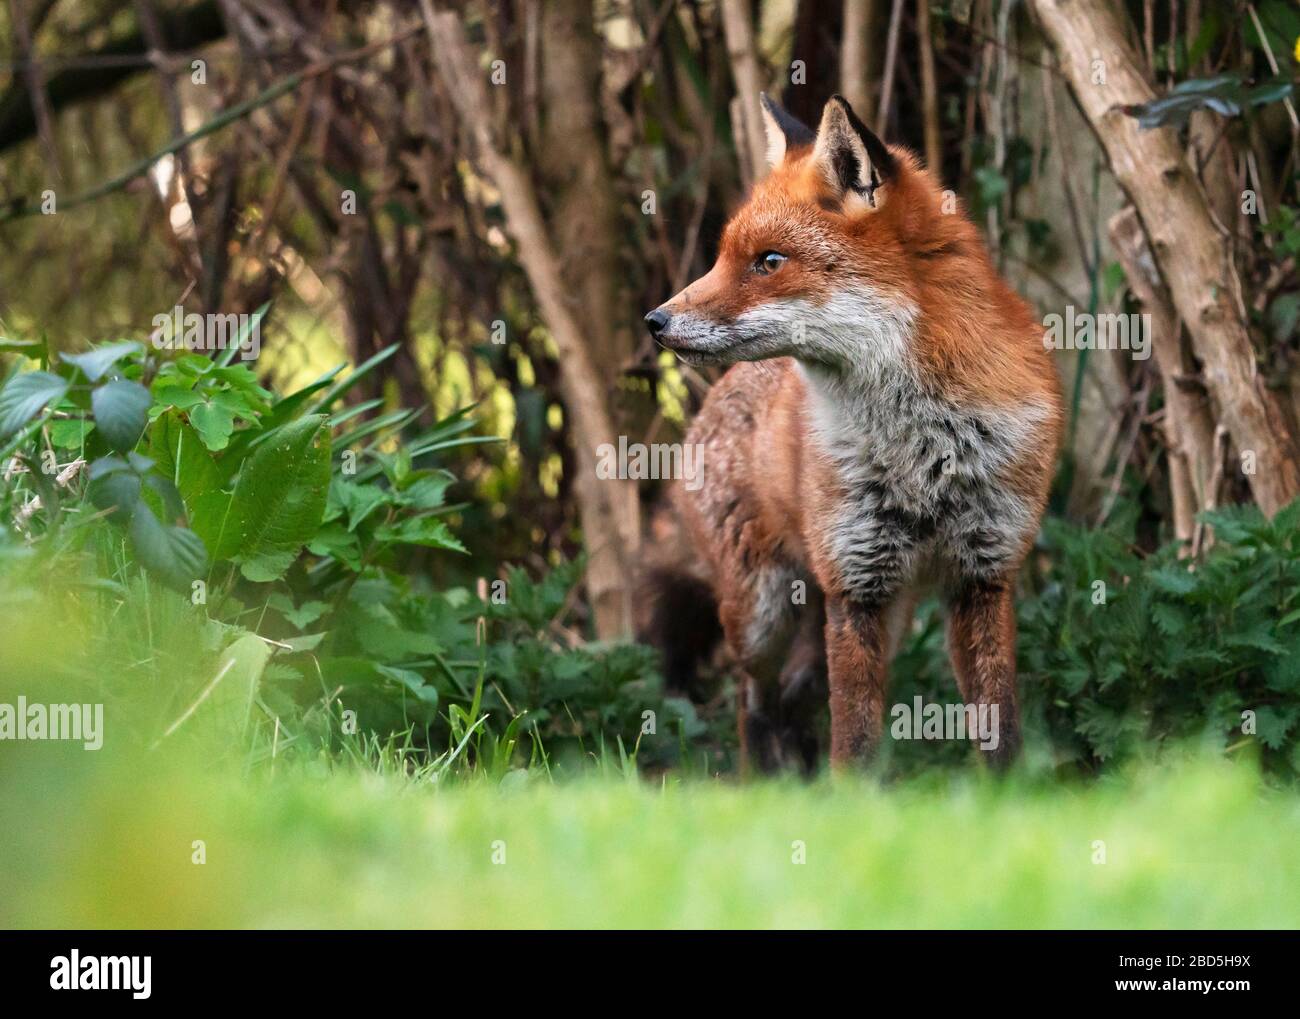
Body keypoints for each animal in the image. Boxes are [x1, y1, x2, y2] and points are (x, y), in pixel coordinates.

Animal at [642, 94, 1063, 772]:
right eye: (723, 257)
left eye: (768, 262)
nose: (654, 321)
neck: (925, 444)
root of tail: (714, 402)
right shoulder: (857, 584)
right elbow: (857, 741)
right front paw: (853, 798)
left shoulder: (983, 574)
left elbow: (998, 725)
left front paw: (1009, 792)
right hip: (763, 615)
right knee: (752, 700)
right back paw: (763, 780)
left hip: (870, 612)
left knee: (794, 695)